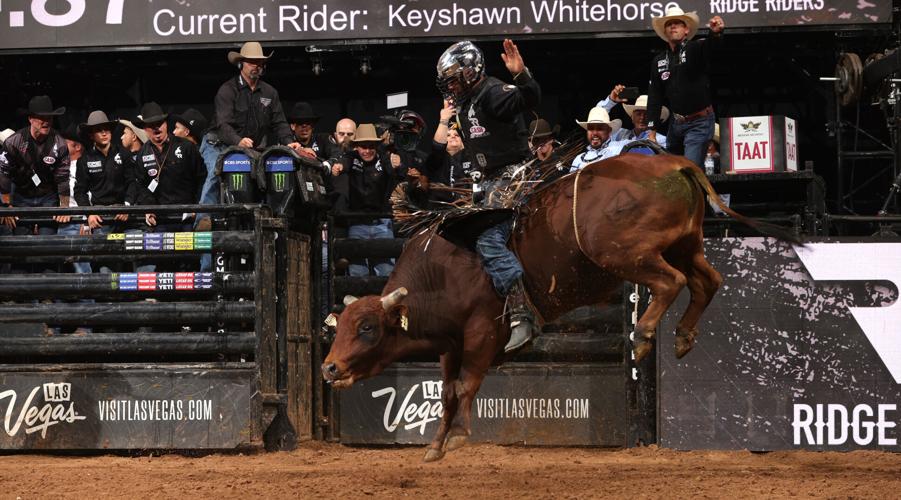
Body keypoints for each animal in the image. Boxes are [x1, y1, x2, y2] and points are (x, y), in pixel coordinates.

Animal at [322, 153, 798, 461]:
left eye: (367, 328)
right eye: (340, 326)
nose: (329, 367)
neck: (438, 272)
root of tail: (673, 163)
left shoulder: (481, 332)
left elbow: (465, 385)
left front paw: (457, 438)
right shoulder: (450, 343)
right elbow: (447, 392)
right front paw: (436, 446)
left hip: (628, 254)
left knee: (672, 282)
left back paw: (644, 334)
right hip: (686, 244)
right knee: (707, 281)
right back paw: (682, 336)